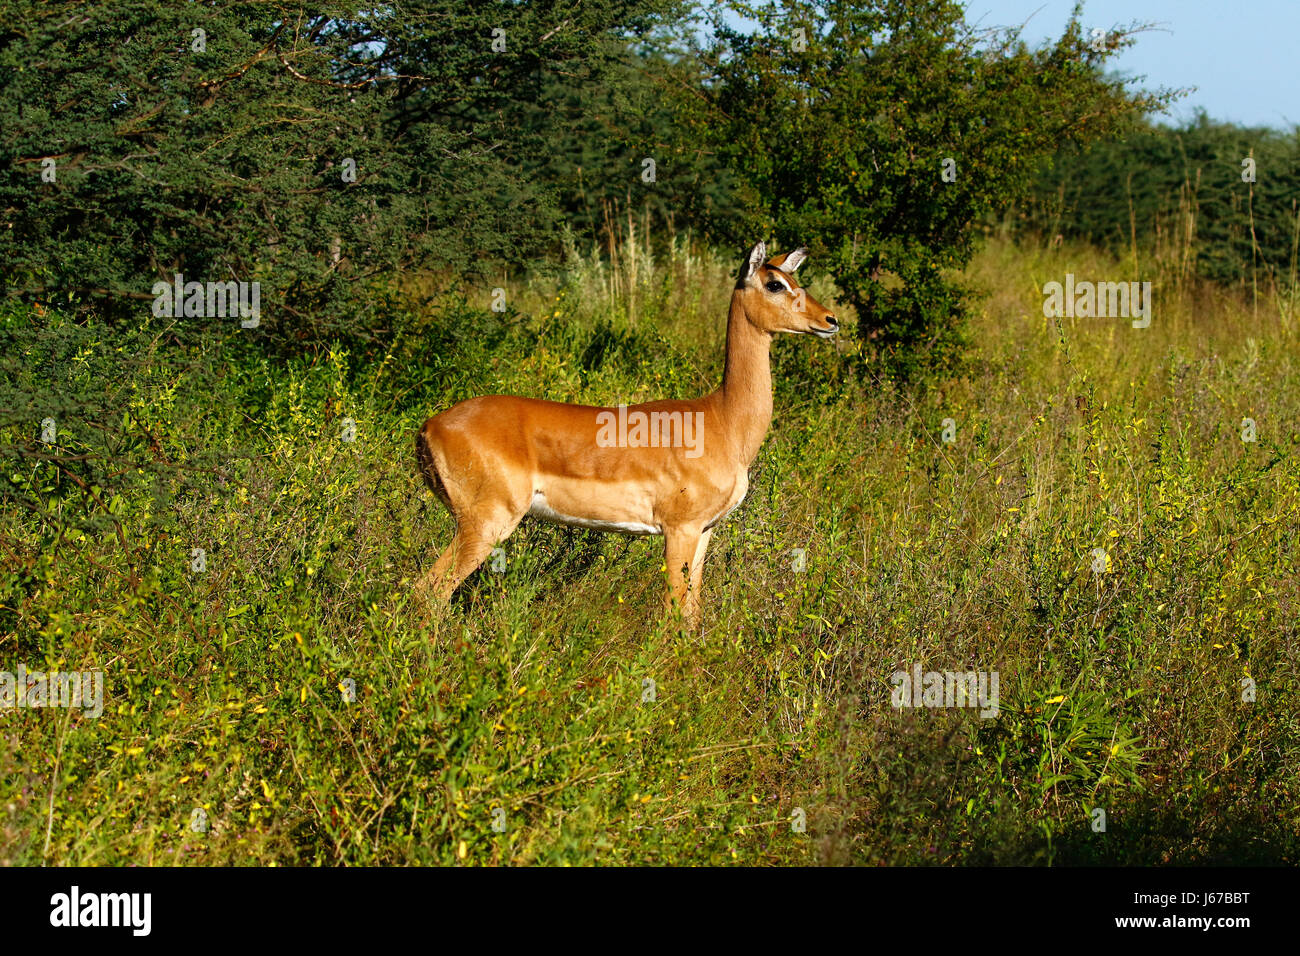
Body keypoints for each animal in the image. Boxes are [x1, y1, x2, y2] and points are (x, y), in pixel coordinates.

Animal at [415, 242, 838, 626]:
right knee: (429, 590)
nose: (831, 320)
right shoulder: (679, 529)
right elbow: (674, 613)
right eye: (774, 284)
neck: (722, 420)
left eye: (796, 279)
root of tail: (429, 427)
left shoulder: (705, 530)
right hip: (487, 522)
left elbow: (692, 614)